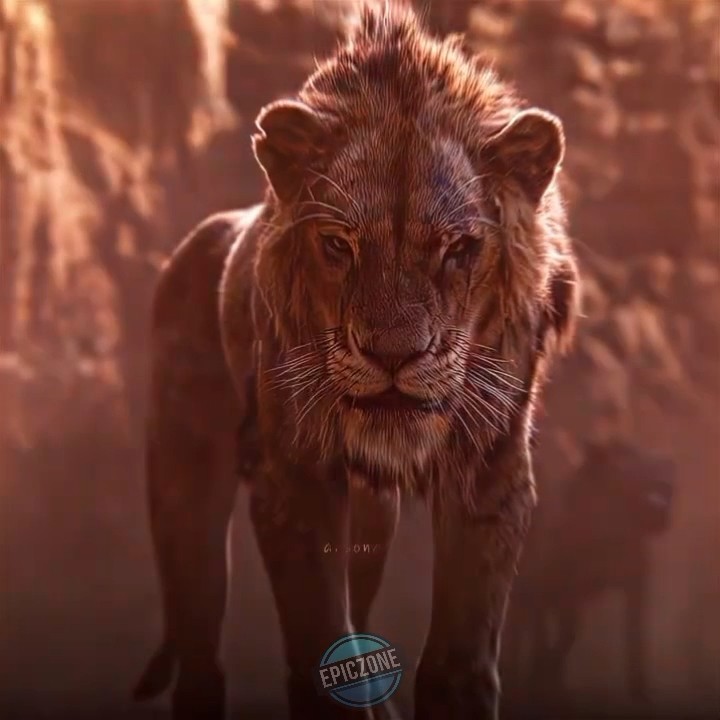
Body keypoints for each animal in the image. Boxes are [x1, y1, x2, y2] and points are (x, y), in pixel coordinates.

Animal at [132, 5, 579, 720]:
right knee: (201, 648)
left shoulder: (491, 474)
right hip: (185, 488)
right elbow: (318, 645)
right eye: (339, 245)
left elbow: (460, 656)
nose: (393, 355)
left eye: (458, 248)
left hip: (373, 514)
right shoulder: (293, 481)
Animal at [502, 441, 676, 715]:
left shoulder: (635, 585)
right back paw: (524, 676)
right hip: (530, 592)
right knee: (521, 628)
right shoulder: (565, 588)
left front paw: (639, 691)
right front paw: (544, 670)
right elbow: (568, 631)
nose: (660, 509)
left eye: (664, 486)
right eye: (627, 483)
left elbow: (635, 637)